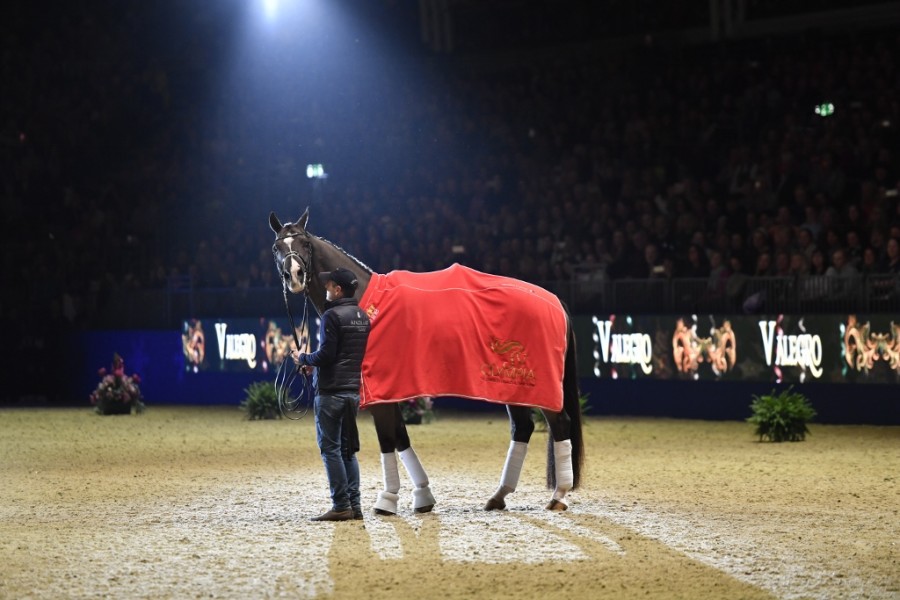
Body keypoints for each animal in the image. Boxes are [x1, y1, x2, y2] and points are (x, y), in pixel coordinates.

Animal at [270, 207, 584, 514]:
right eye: (276, 247)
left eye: (305, 244)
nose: (295, 274)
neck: (363, 301)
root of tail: (554, 300)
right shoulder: (392, 392)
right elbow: (401, 437)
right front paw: (423, 496)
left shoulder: (381, 394)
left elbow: (388, 440)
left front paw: (387, 500)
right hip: (511, 389)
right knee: (523, 428)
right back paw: (499, 496)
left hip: (540, 389)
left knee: (560, 424)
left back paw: (559, 495)